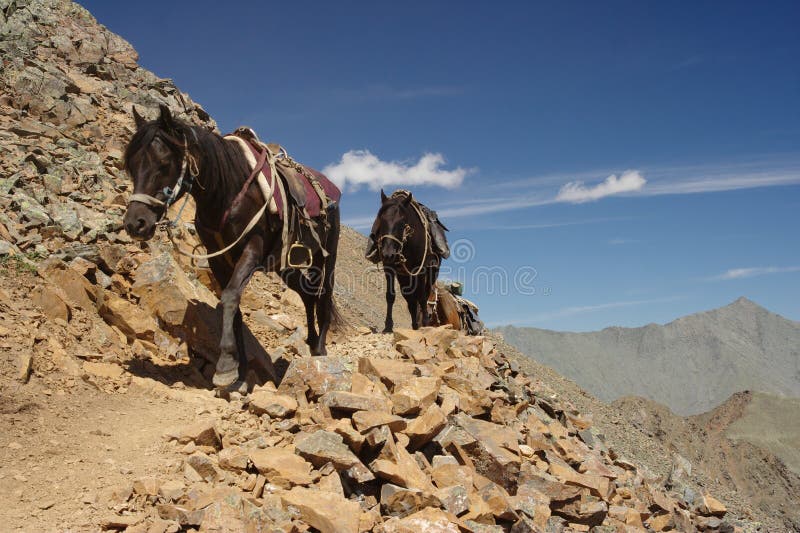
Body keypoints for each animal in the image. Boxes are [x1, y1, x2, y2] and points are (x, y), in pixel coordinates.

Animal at [122, 105, 341, 392]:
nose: (135, 223)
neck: (225, 192)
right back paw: (312, 343)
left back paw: (321, 348)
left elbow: (228, 298)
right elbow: (233, 307)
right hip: (285, 264)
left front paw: (225, 367)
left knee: (323, 294)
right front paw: (240, 371)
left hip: (325, 256)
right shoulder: (220, 260)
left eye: (164, 163)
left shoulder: (251, 250)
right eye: (131, 166)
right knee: (308, 295)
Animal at [370, 190, 441, 332]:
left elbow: (422, 297)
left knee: (423, 295)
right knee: (411, 301)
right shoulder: (389, 268)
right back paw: (414, 325)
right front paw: (388, 326)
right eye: (381, 219)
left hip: (430, 274)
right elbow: (390, 296)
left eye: (402, 221)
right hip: (404, 278)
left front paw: (425, 323)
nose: (388, 254)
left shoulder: (420, 269)